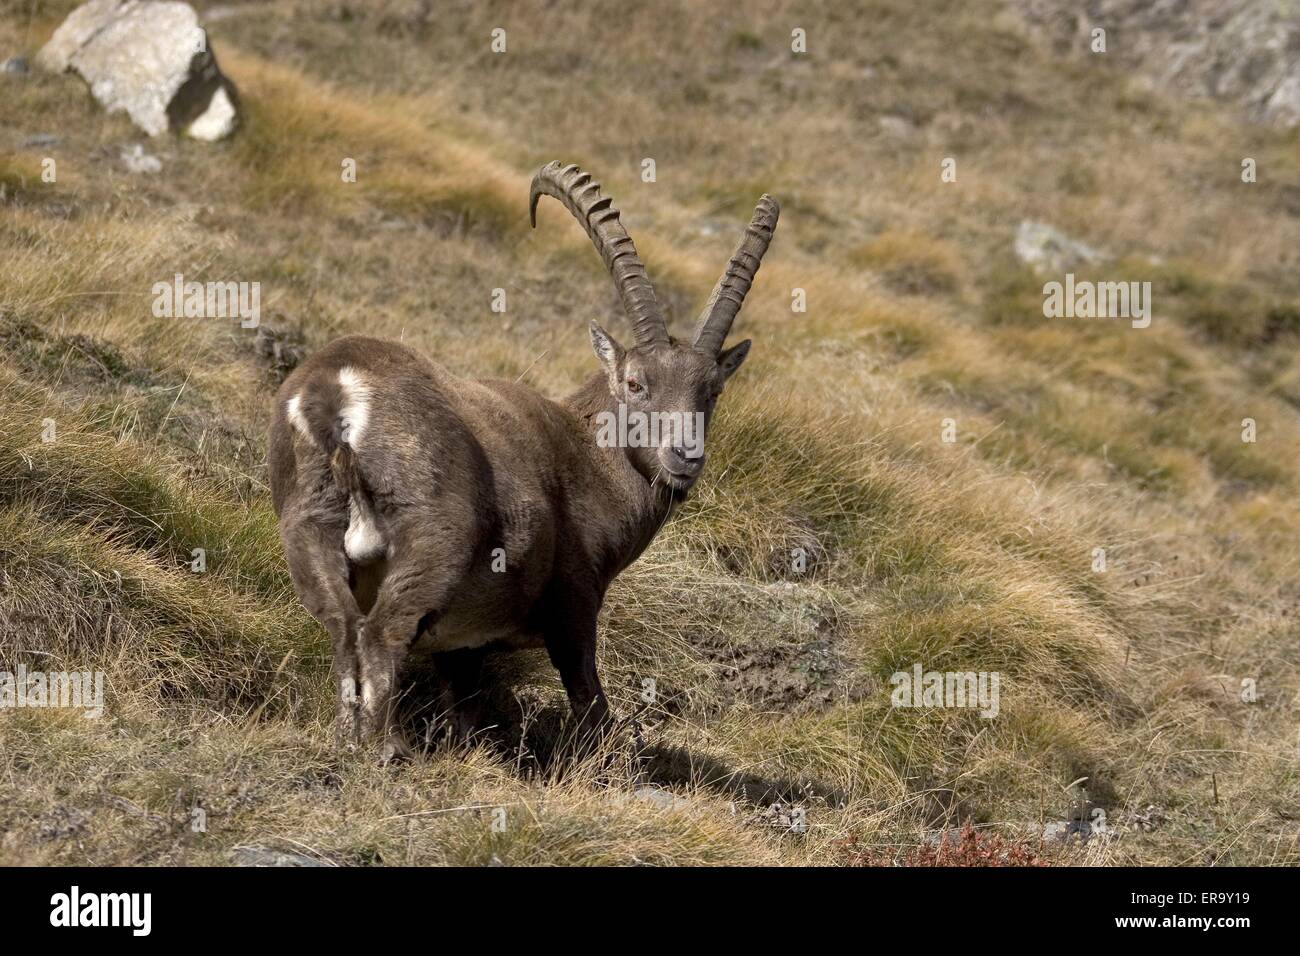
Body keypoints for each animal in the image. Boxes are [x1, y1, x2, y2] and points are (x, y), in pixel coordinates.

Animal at [268, 162, 779, 759]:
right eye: (636, 383)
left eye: (713, 391)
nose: (685, 455)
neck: (592, 456)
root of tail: (337, 392)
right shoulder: (573, 607)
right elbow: (589, 701)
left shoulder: (463, 643)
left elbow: (465, 707)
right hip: (434, 540)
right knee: (380, 633)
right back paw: (388, 748)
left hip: (310, 525)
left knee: (343, 625)